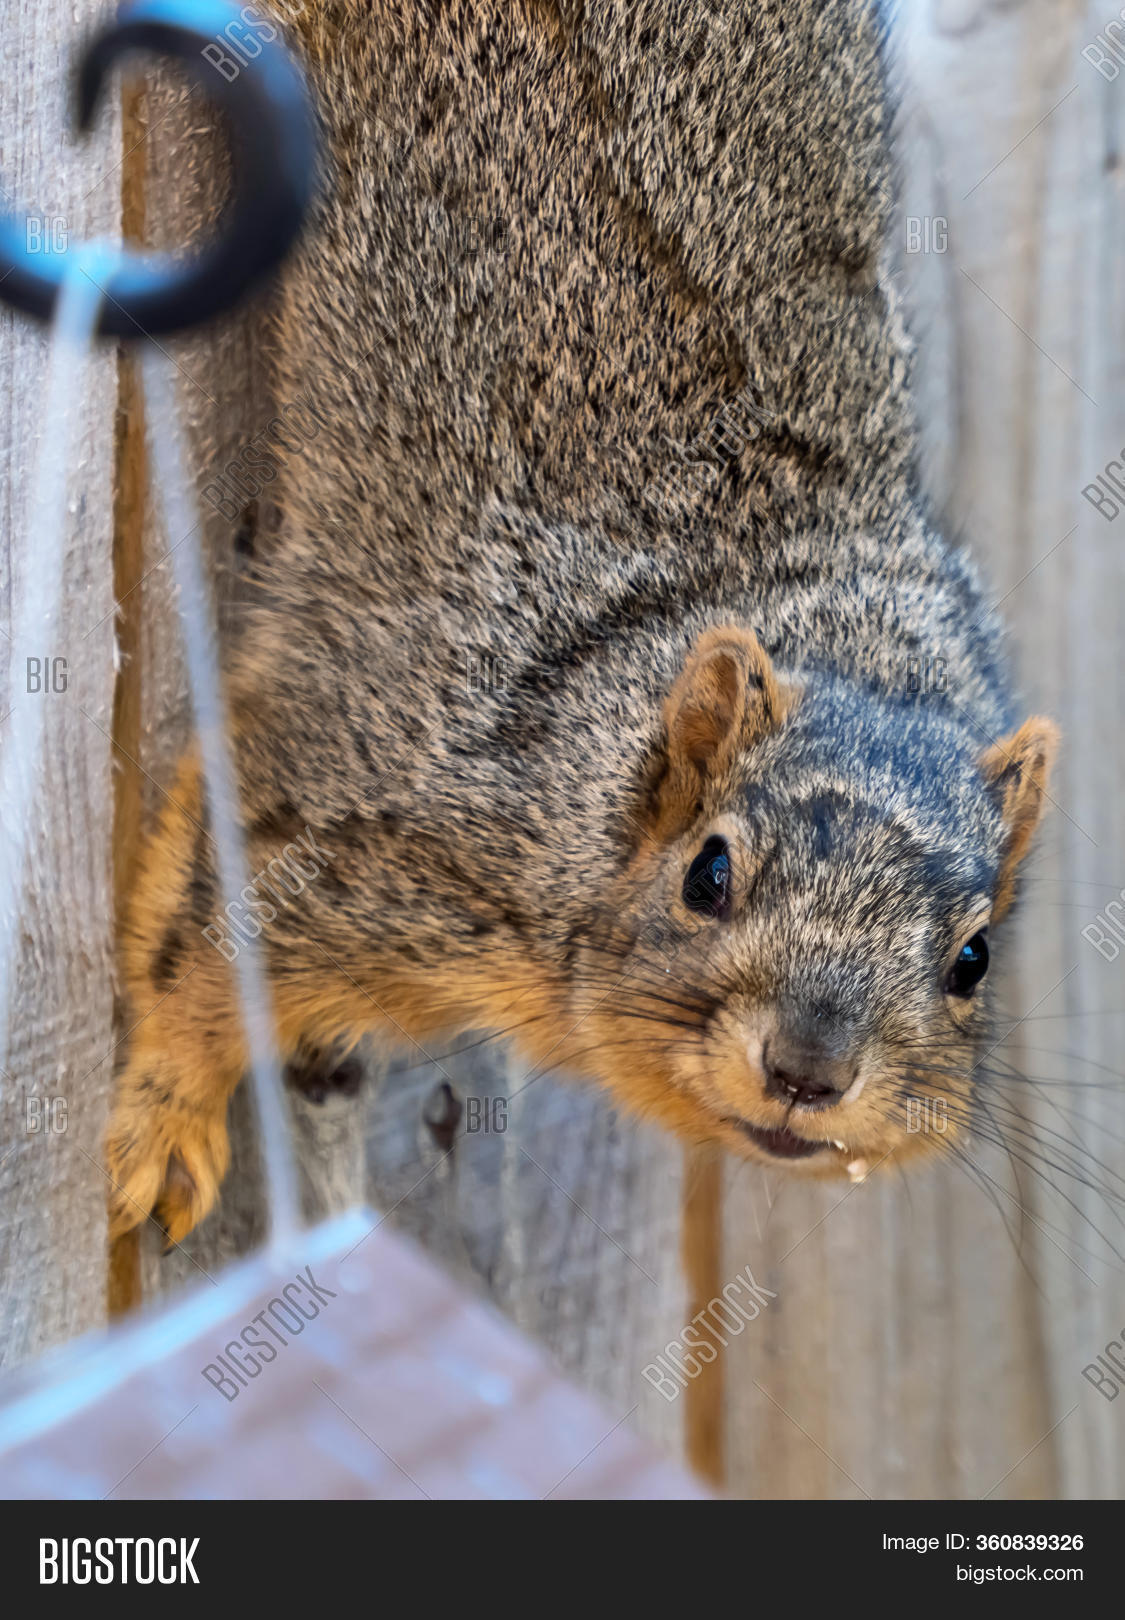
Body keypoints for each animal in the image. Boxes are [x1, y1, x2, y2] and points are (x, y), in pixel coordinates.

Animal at [106, 0, 1059, 1243]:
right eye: (709, 874)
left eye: (974, 959)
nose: (809, 1071)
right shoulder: (369, 758)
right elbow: (208, 941)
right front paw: (166, 1123)